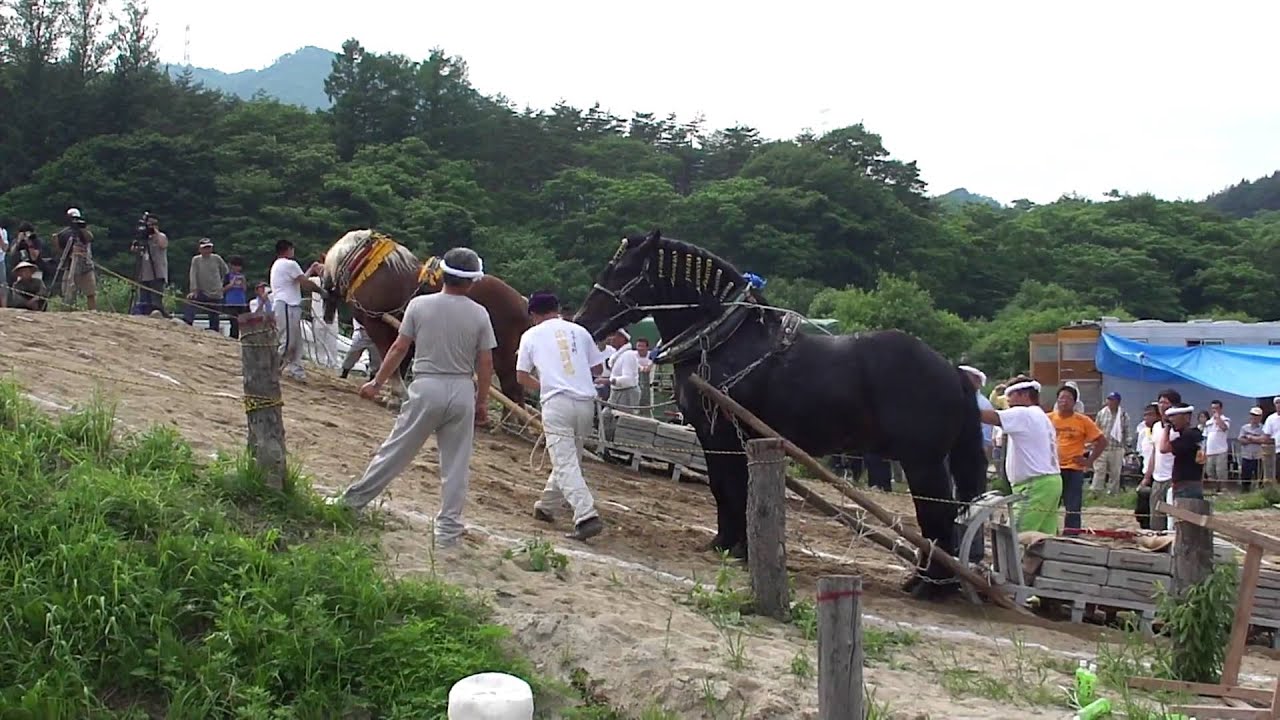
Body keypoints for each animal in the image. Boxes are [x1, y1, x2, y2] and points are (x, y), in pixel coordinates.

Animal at [318, 229, 531, 407]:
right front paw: (395, 395)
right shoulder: (404, 330)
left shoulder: (377, 324)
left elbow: (390, 357)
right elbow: (400, 361)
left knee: (513, 388)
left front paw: (397, 393)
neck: (364, 266)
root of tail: (523, 302)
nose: (326, 310)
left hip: (503, 353)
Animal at [572, 230, 986, 599]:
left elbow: (729, 488)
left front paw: (736, 546)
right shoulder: (723, 437)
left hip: (923, 462)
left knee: (937, 516)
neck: (724, 339)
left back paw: (930, 585)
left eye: (622, 271)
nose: (582, 321)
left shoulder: (722, 433)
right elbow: (725, 488)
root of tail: (953, 371)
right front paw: (726, 543)